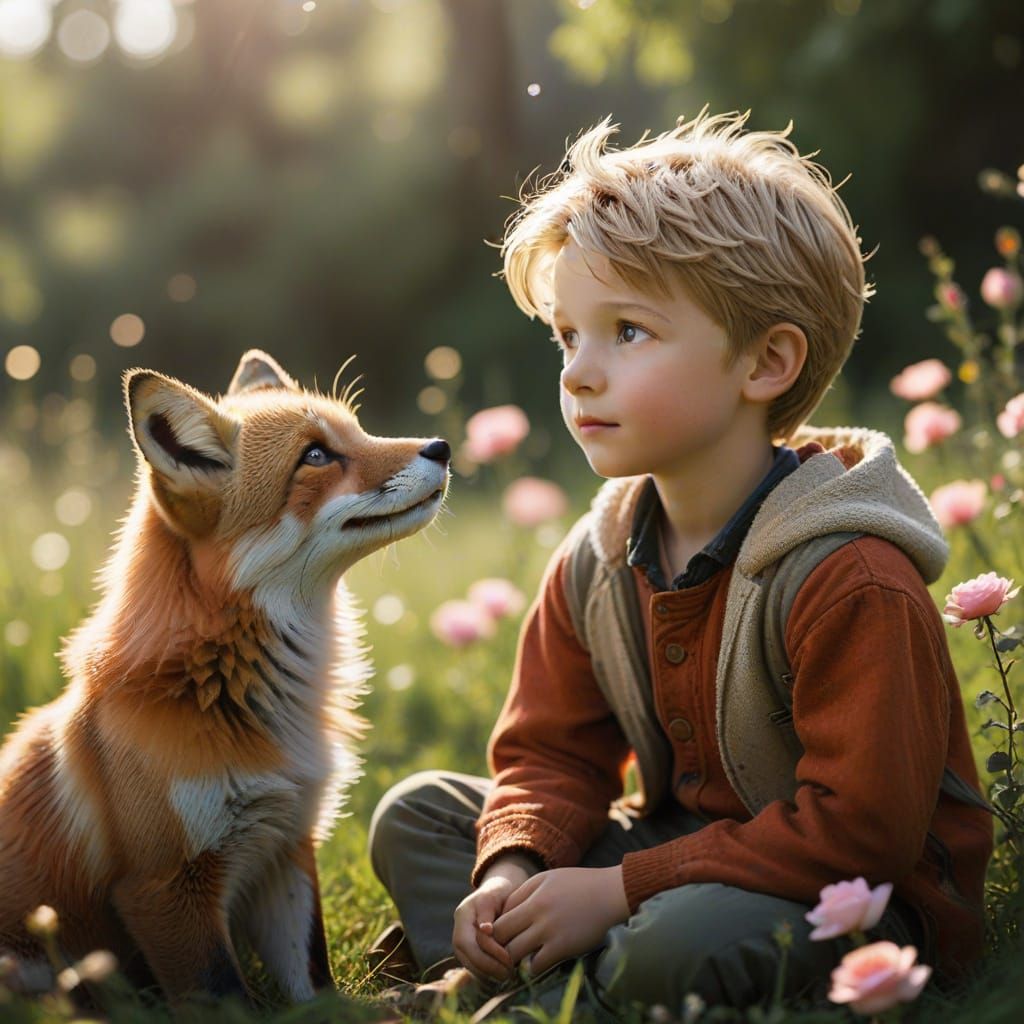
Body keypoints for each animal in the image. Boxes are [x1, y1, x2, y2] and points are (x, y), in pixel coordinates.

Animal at [0, 350, 450, 1003]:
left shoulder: (286, 843)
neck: (219, 688)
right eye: (316, 455)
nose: (442, 447)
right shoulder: (165, 886)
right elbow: (227, 996)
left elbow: (312, 982)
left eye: (358, 431)